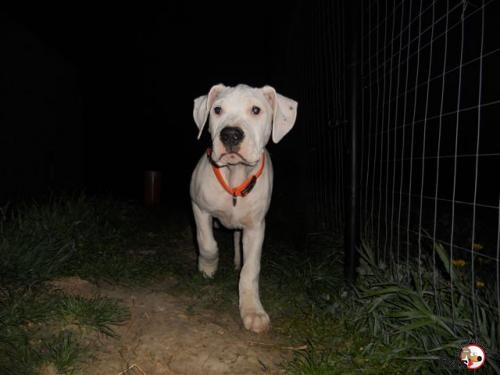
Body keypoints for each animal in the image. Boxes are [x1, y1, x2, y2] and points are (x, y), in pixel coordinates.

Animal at [188, 83, 296, 334]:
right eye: (217, 110)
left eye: (256, 110)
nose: (230, 134)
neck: (235, 173)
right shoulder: (199, 208)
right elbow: (207, 244)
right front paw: (207, 269)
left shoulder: (256, 228)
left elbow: (251, 269)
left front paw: (252, 311)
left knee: (238, 240)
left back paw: (238, 261)